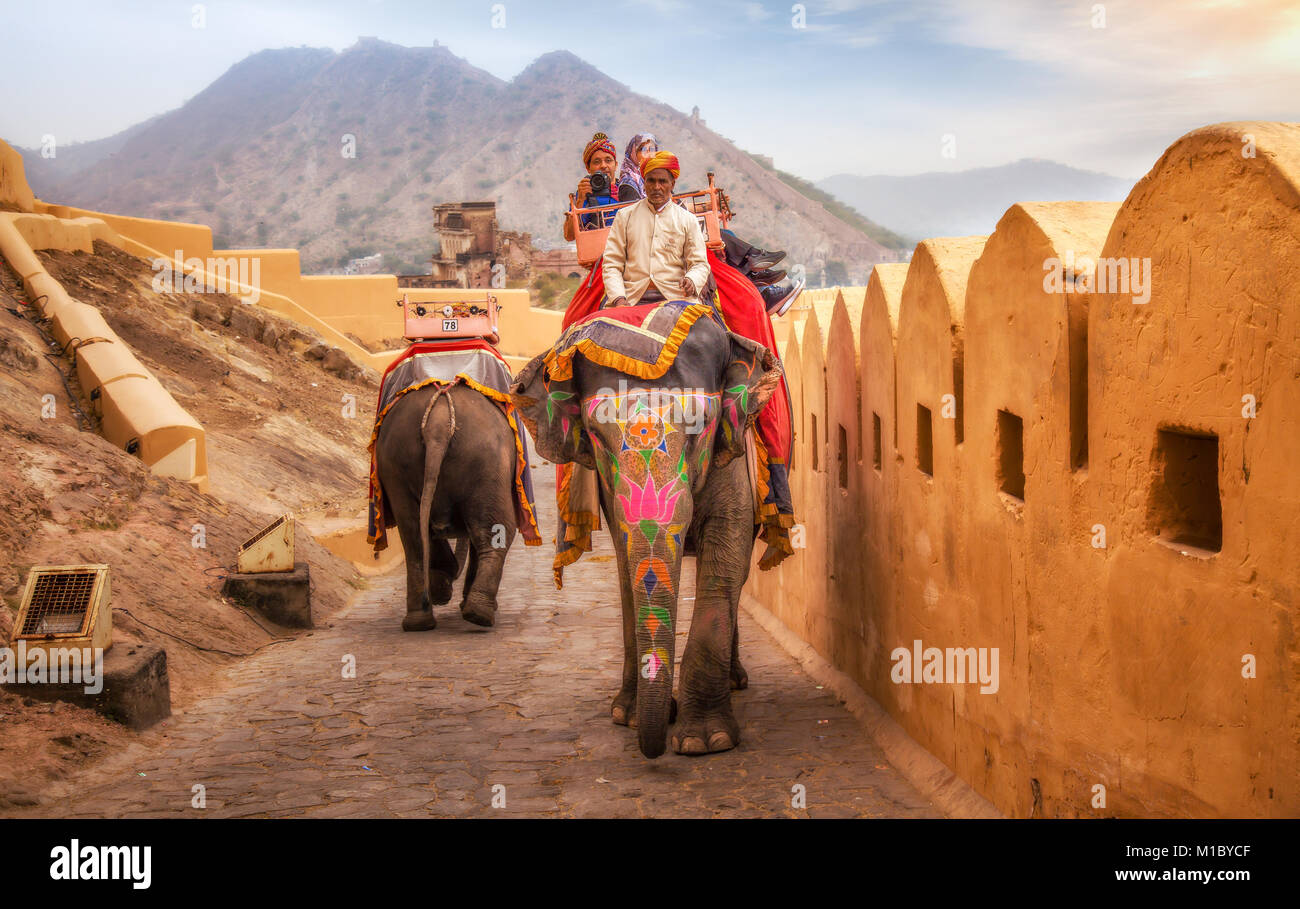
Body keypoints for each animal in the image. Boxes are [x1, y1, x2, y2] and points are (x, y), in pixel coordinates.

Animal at [374, 383, 524, 631]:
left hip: (395, 462)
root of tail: (438, 421)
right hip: (487, 461)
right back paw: (478, 614)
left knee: (414, 535)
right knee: (496, 530)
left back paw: (420, 621)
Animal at [512, 308, 782, 758]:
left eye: (700, 429)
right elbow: (626, 566)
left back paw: (735, 681)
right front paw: (630, 716)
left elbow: (727, 555)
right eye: (597, 437)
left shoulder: (732, 451)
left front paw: (704, 741)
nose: (652, 747)